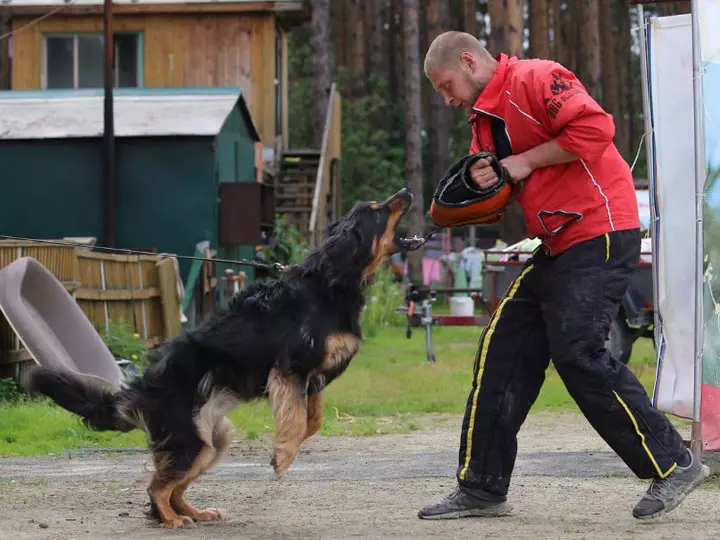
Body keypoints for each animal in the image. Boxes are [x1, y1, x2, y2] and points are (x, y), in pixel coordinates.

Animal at [25, 188, 416, 528]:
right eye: (378, 211)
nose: (406, 192)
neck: (332, 282)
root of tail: (137, 390)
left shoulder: (312, 377)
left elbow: (312, 420)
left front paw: (287, 448)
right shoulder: (291, 367)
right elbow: (295, 420)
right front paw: (282, 457)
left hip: (214, 440)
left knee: (171, 485)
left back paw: (195, 513)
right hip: (191, 440)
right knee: (156, 487)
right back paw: (172, 520)